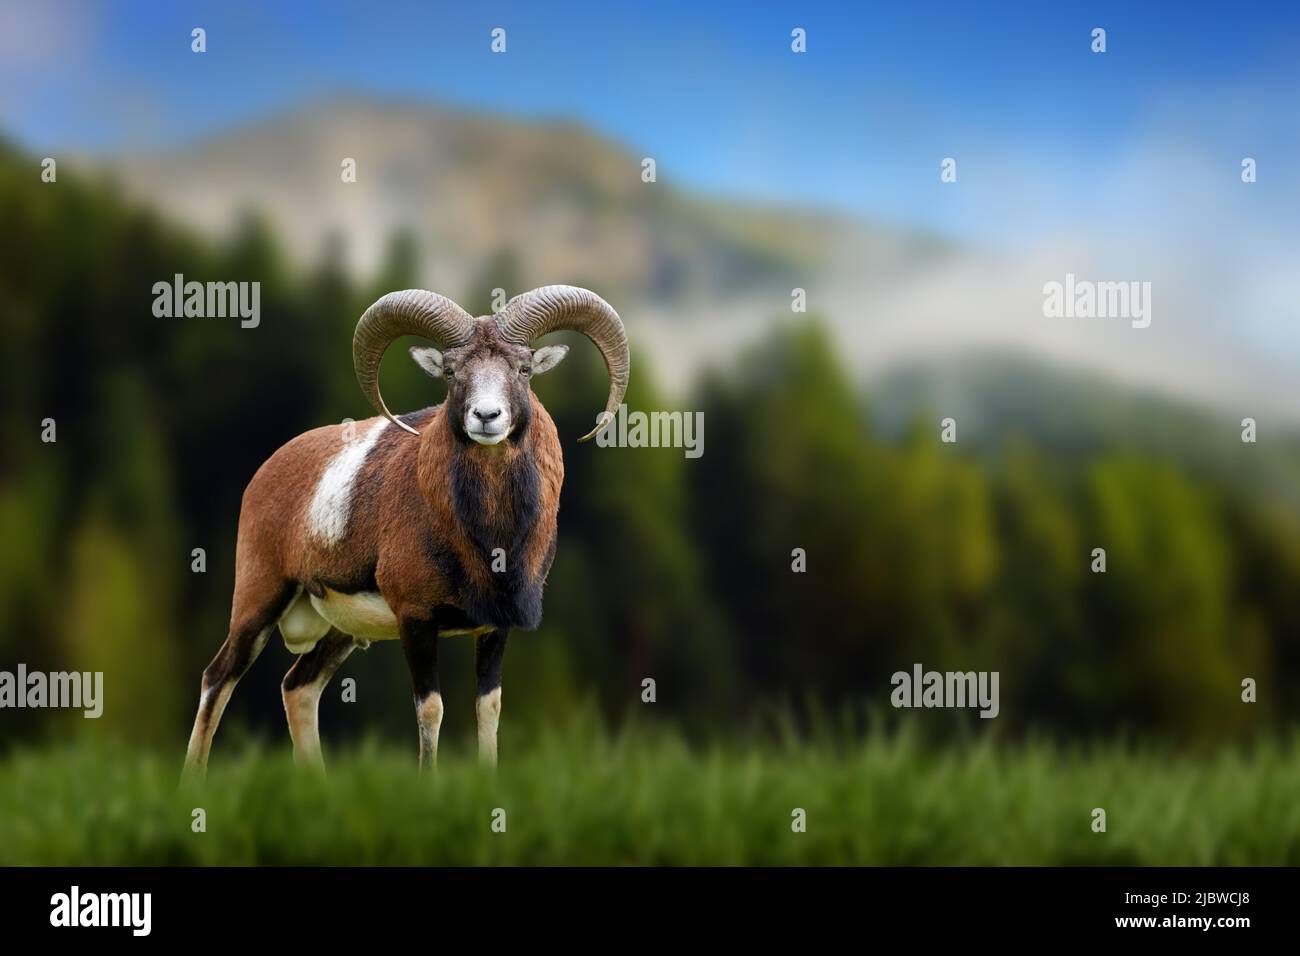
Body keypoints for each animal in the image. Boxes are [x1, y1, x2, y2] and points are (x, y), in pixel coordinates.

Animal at [182, 286, 629, 777]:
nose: (486, 416)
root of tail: (265, 472)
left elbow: (488, 709)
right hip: (260, 601)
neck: (489, 539)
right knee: (218, 677)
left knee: (297, 688)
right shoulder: (416, 621)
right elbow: (430, 708)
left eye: (524, 369)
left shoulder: (496, 627)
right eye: (452, 372)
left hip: (337, 631)